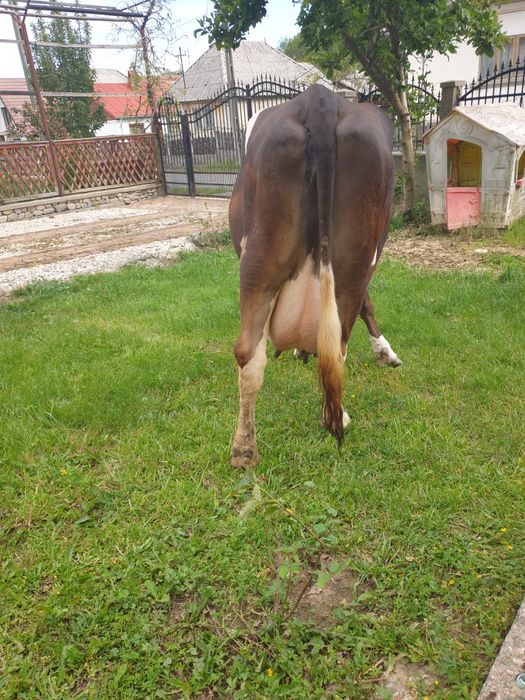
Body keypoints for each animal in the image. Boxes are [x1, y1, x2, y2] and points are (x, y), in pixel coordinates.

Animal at [229, 84, 400, 468]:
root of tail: (319, 98)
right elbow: (366, 306)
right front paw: (385, 352)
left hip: (259, 258)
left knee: (249, 354)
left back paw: (244, 448)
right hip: (355, 262)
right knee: (336, 345)